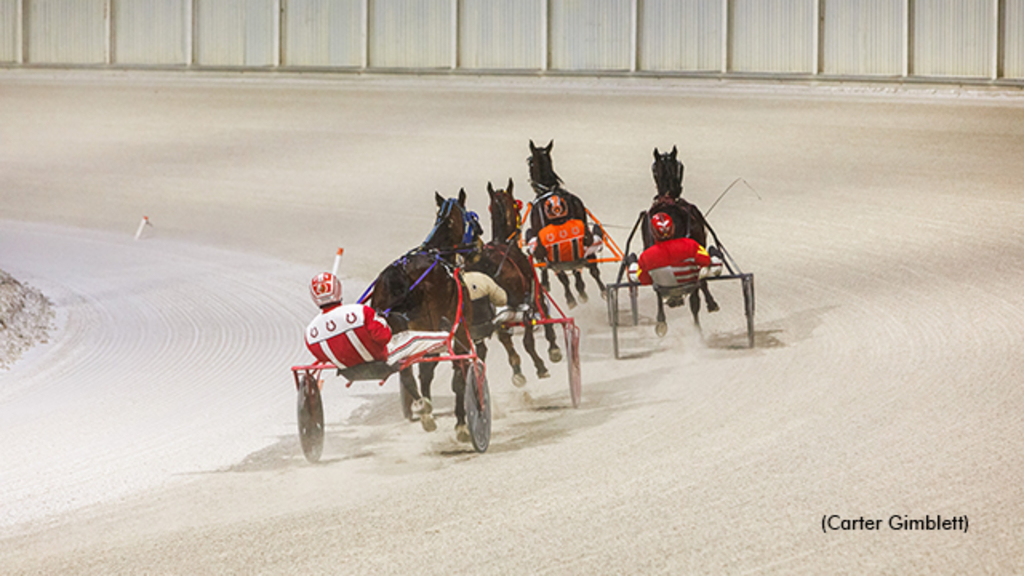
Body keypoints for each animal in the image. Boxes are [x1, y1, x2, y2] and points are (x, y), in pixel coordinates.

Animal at [468, 178, 565, 385]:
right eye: (516, 204)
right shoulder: (533, 292)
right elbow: (544, 314)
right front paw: (553, 347)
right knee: (526, 339)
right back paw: (539, 365)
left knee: (503, 339)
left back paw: (517, 368)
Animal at [528, 138, 606, 307]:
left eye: (530, 162)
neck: (549, 190)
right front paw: (581, 288)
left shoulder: (541, 240)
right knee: (591, 267)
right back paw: (600, 289)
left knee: (562, 273)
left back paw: (570, 297)